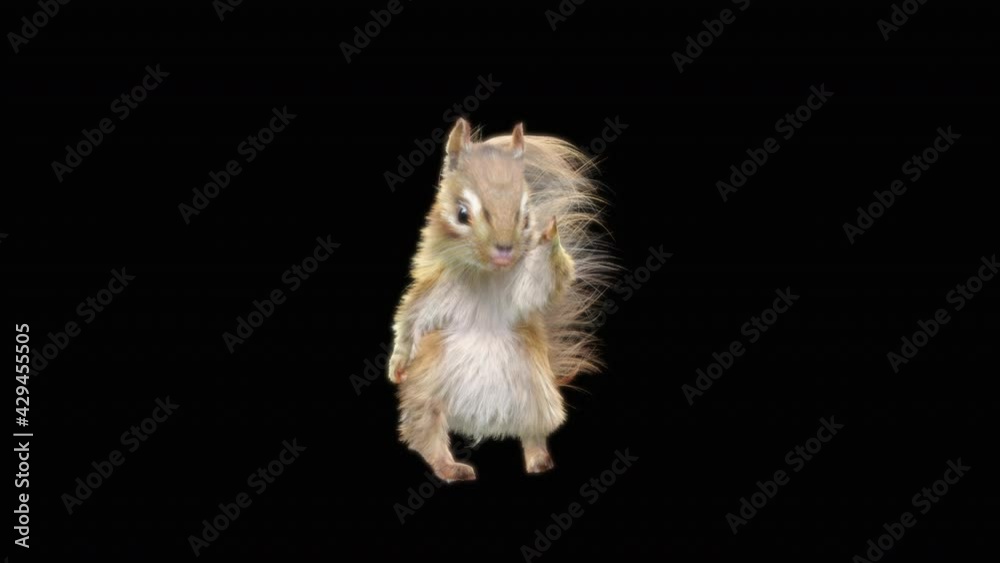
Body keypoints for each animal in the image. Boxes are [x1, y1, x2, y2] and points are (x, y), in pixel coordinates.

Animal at [389, 118, 613, 482]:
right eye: (462, 213)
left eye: (526, 214)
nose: (505, 249)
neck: (486, 275)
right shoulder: (435, 290)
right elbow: (412, 317)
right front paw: (397, 362)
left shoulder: (522, 291)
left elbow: (539, 281)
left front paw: (550, 234)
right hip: (425, 397)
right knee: (428, 437)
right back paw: (450, 467)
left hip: (538, 398)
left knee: (533, 432)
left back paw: (538, 461)